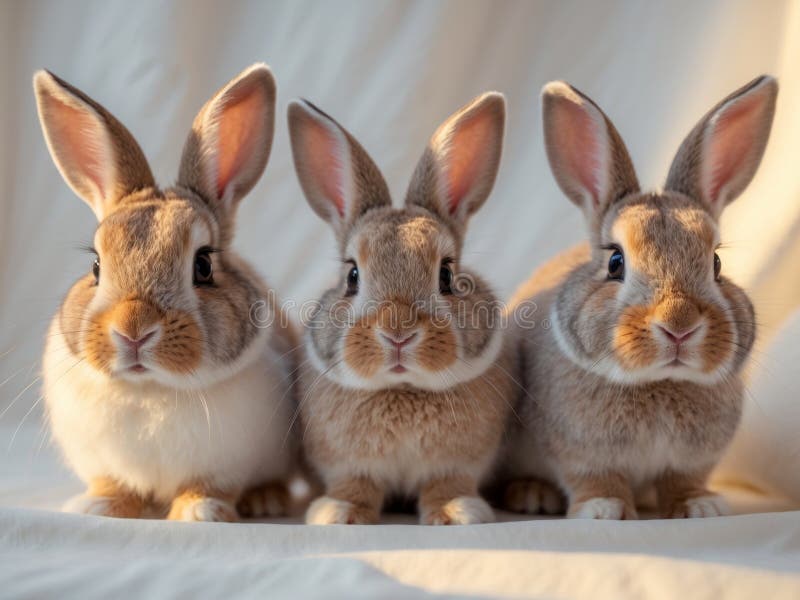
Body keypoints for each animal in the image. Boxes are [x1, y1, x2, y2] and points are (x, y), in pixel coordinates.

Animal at [35, 64, 298, 521]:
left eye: (203, 266)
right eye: (96, 266)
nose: (133, 332)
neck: (151, 388)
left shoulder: (224, 464)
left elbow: (209, 487)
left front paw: (200, 512)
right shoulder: (104, 461)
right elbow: (114, 484)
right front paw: (98, 506)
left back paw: (267, 501)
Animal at [287, 92, 513, 525]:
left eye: (447, 275)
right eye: (352, 275)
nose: (397, 333)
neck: (402, 388)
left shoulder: (455, 464)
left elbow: (446, 484)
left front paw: (456, 512)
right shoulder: (349, 465)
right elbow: (354, 485)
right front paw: (339, 512)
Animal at [500, 75, 777, 520]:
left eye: (716, 263)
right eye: (615, 262)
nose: (679, 326)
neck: (660, 380)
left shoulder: (691, 461)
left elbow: (683, 482)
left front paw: (700, 507)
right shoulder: (581, 454)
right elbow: (597, 480)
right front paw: (604, 510)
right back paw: (532, 495)